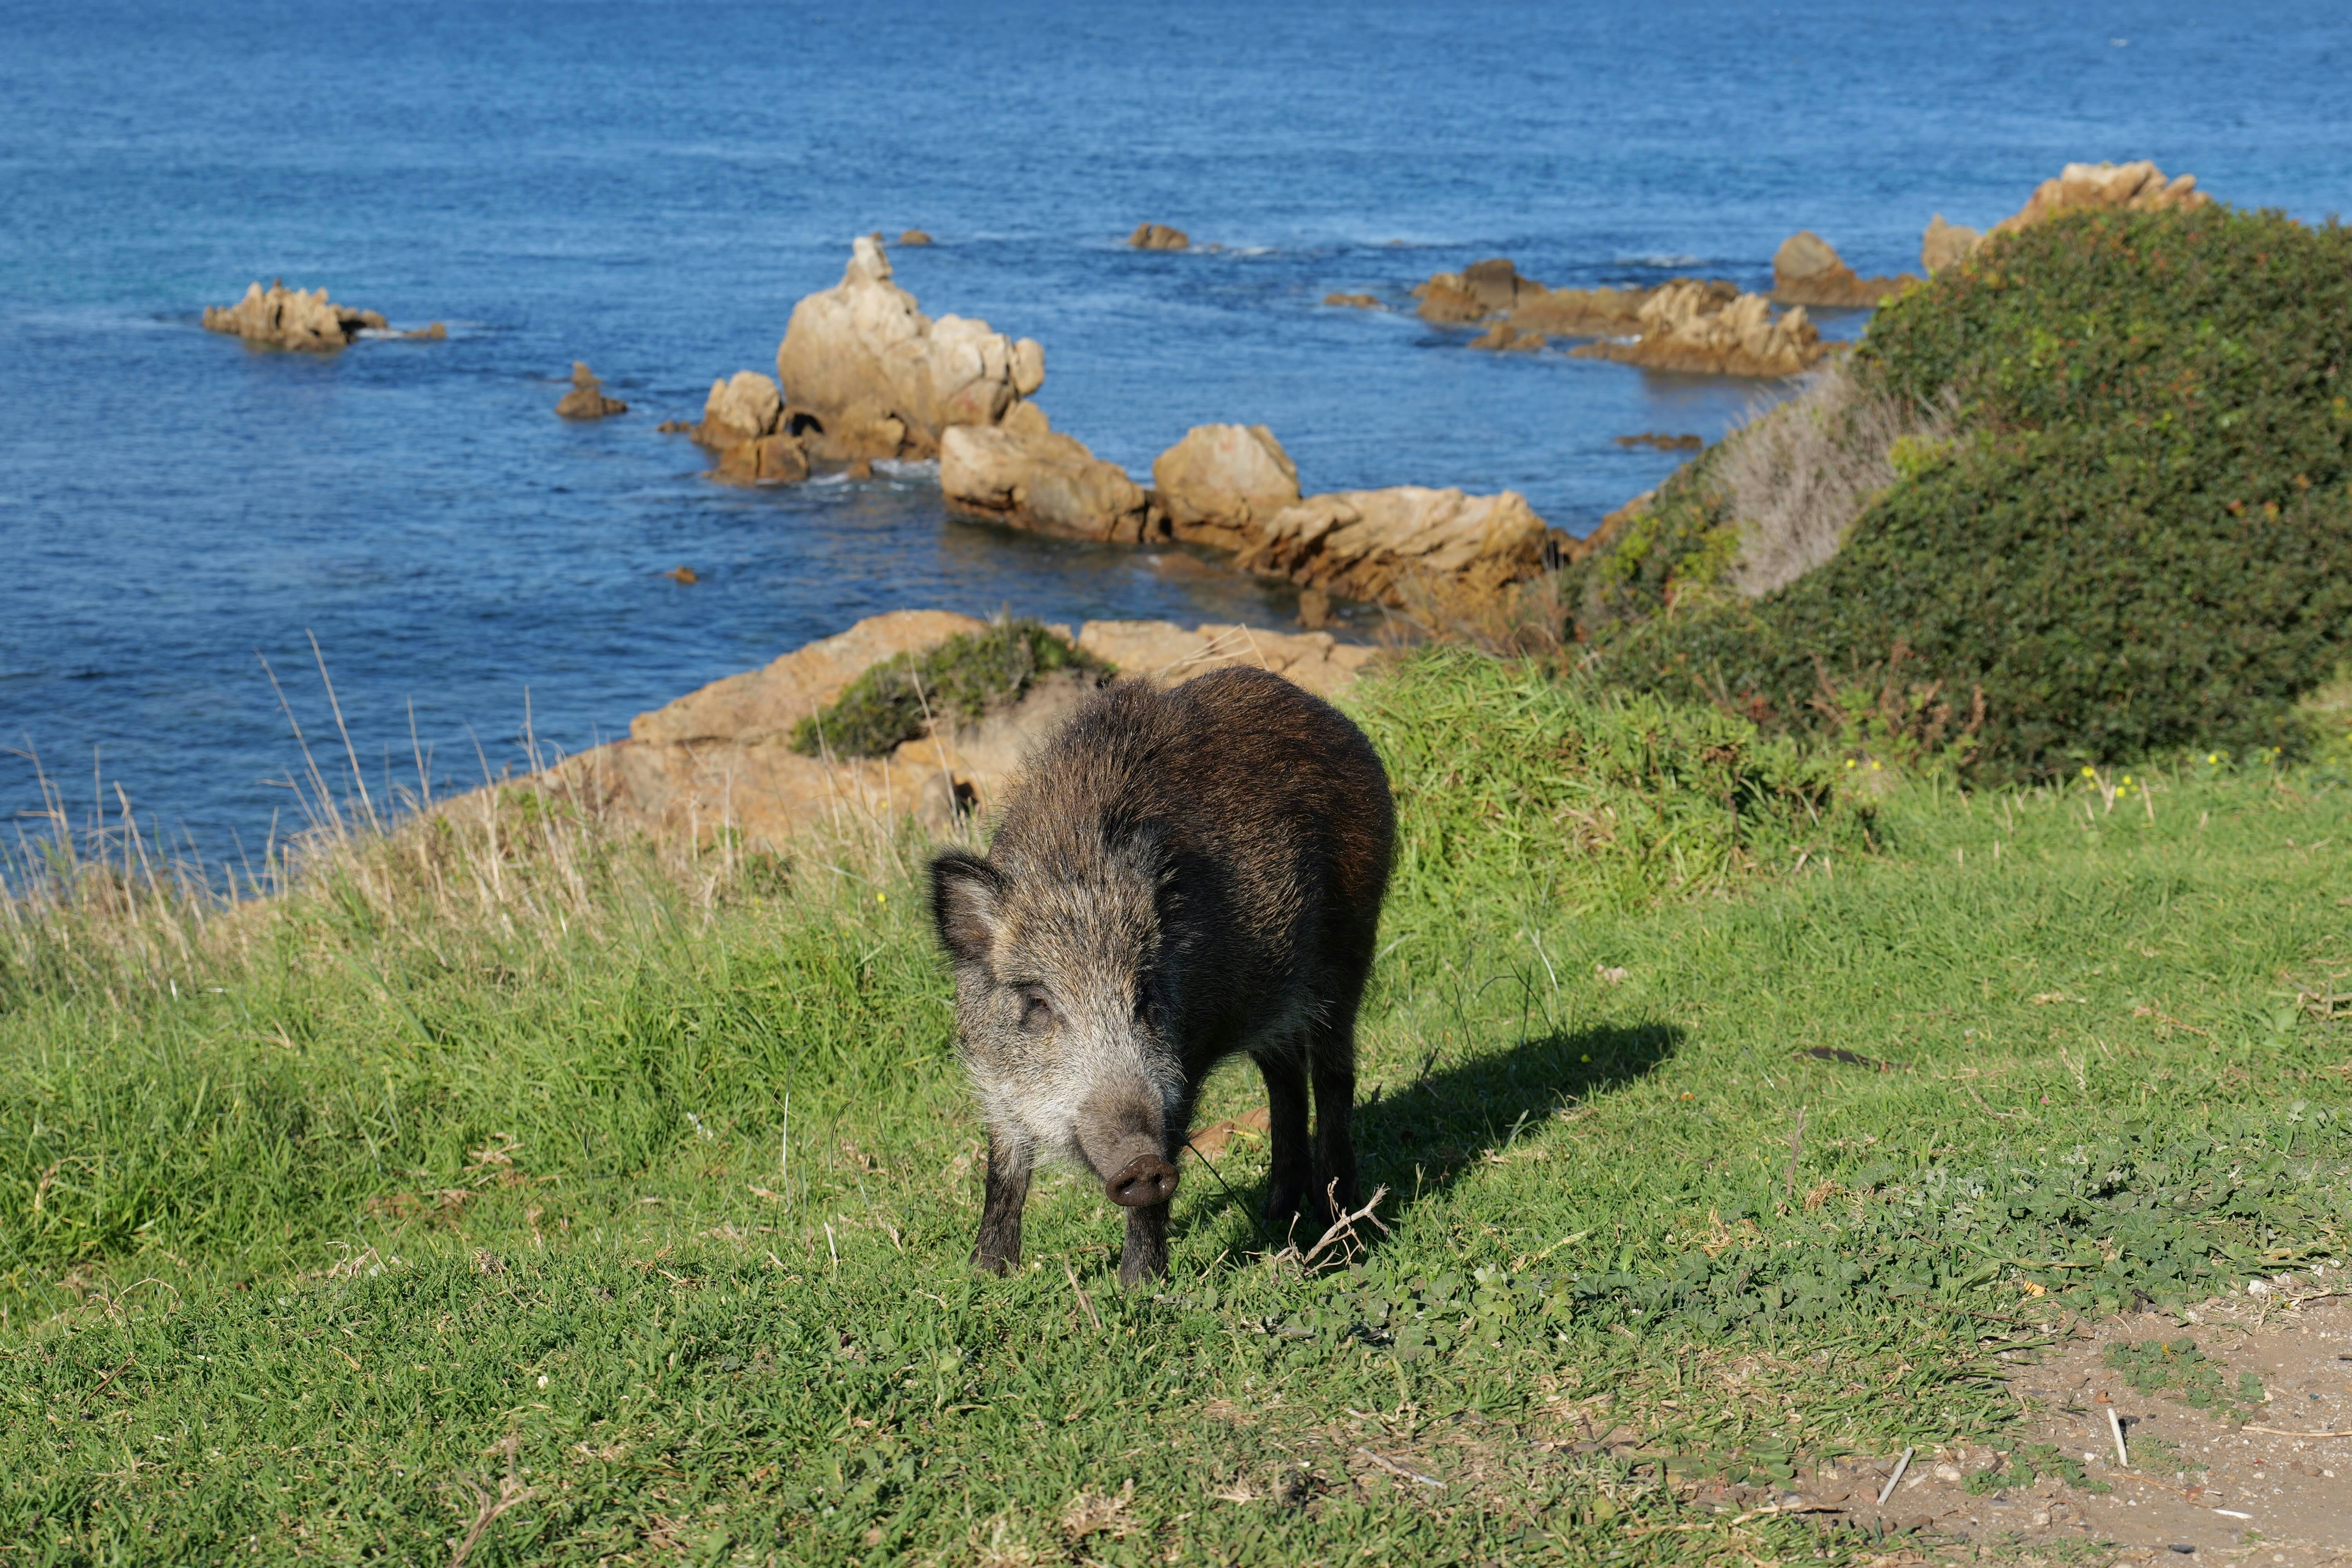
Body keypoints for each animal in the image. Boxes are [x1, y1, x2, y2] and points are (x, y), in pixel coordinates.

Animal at [928, 664, 1395, 1287]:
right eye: (1037, 1003)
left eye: (1146, 996)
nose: (1141, 1161)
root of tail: (1339, 723)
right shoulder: (997, 1080)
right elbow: (1002, 1171)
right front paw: (986, 1275)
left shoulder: (1179, 1072)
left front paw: (1139, 1288)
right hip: (1269, 1001)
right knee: (1286, 1079)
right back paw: (1277, 1214)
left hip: (1349, 953)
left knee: (1335, 1077)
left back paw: (1341, 1225)